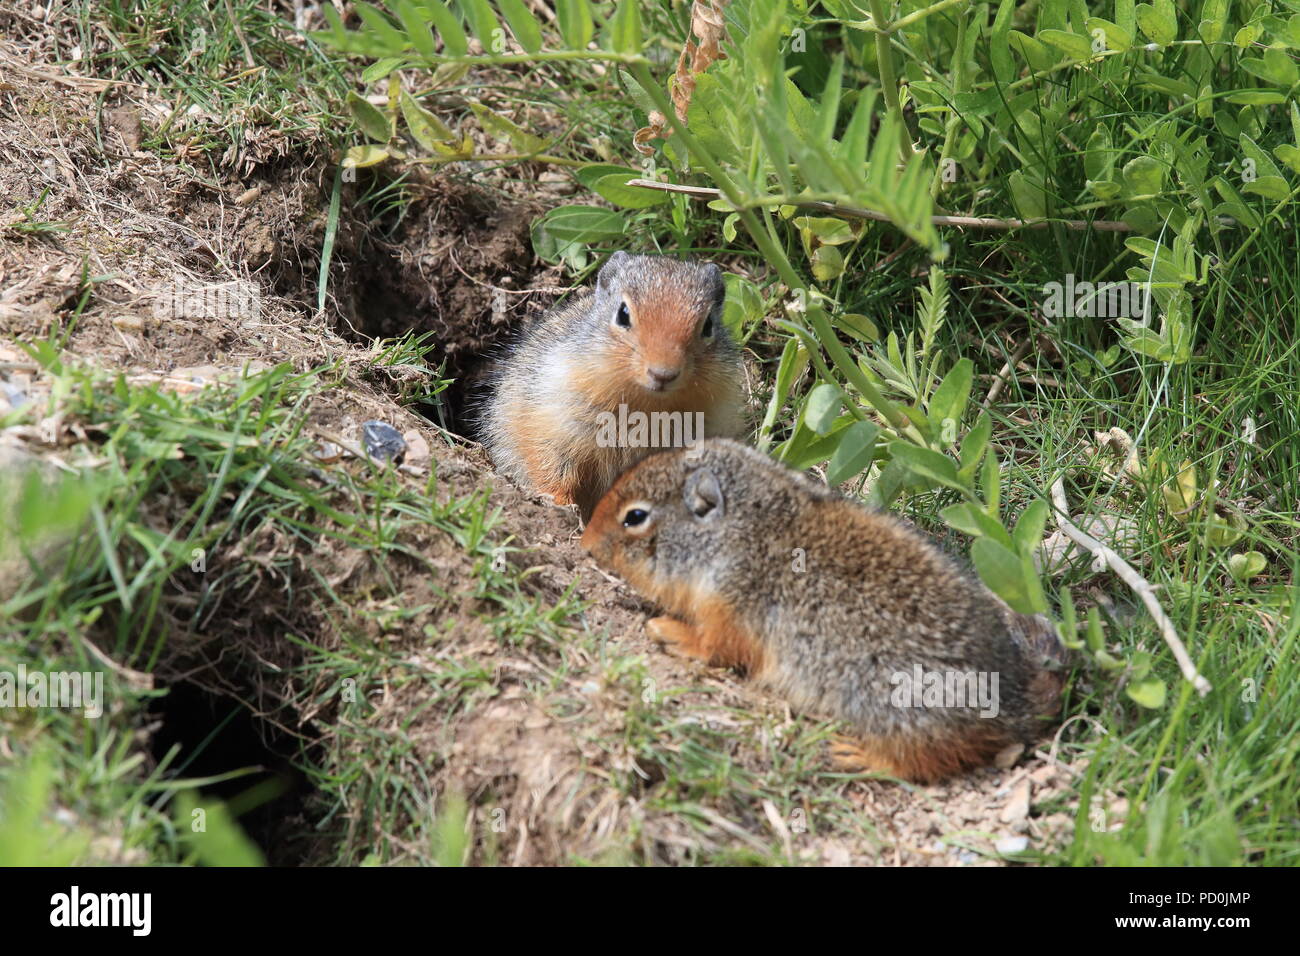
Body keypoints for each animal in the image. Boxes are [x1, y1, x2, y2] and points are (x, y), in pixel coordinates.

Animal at [477, 252, 744, 520]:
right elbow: (549, 469)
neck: (646, 404)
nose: (663, 374)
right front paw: (562, 506)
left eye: (708, 325)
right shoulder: (552, 424)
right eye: (623, 314)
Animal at [581, 438, 1068, 783]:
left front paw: (667, 629)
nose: (585, 544)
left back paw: (857, 755)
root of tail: (1012, 699)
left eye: (635, 517)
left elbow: (715, 647)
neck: (741, 531)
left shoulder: (732, 608)